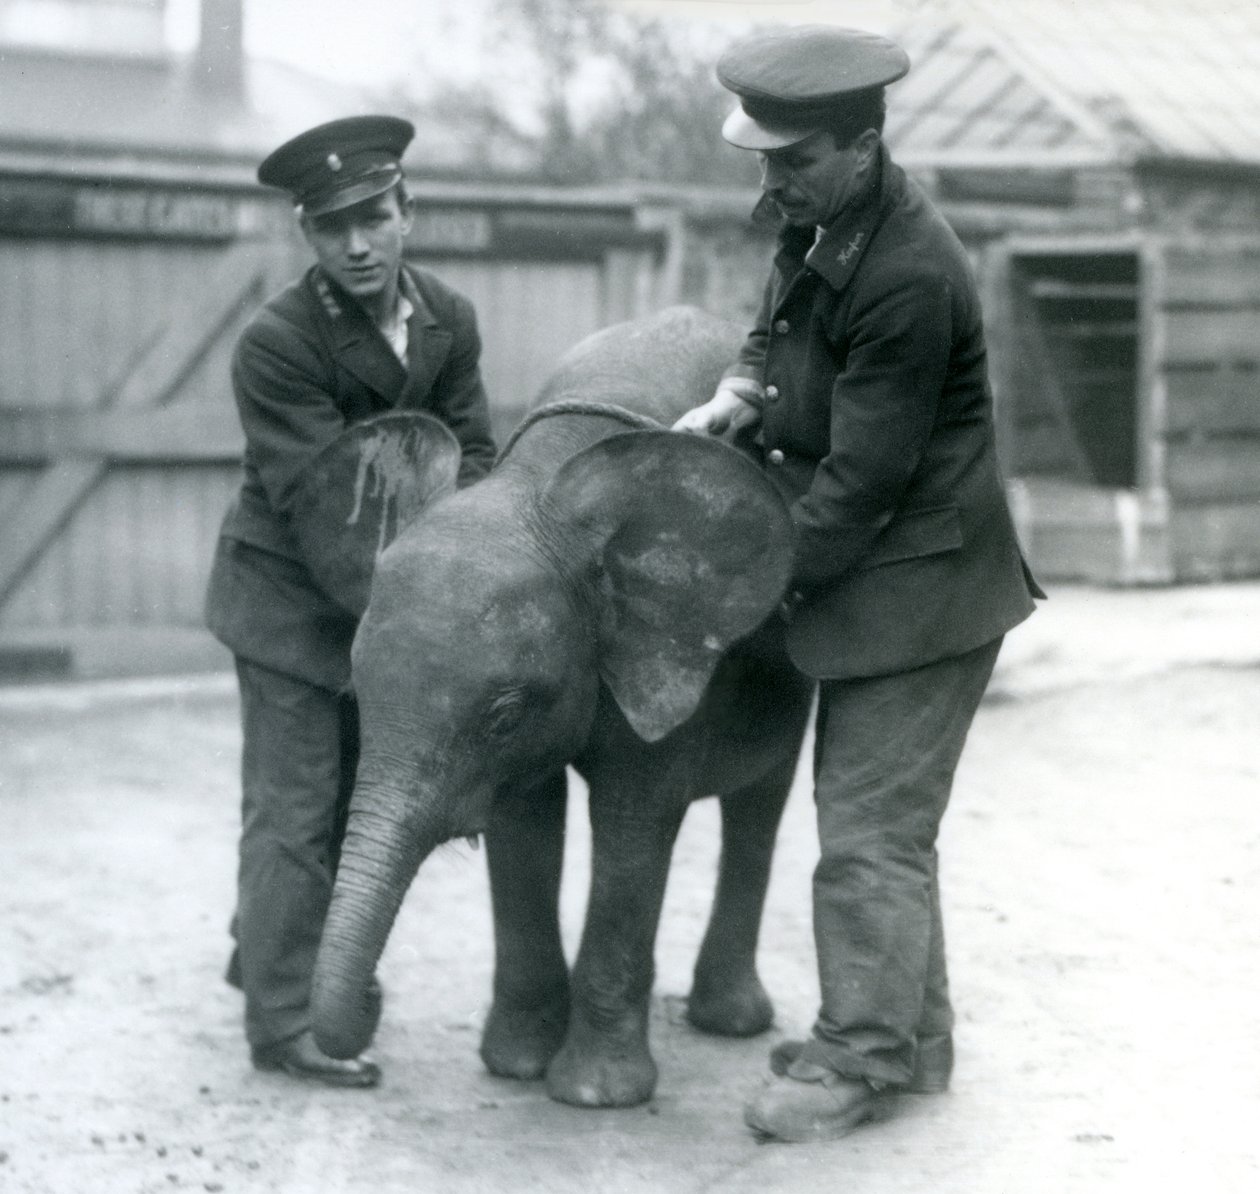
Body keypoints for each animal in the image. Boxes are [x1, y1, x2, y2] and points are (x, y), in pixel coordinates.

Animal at [309, 305, 815, 1108]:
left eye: (503, 714)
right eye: (357, 697)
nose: (371, 1008)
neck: (539, 483)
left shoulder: (660, 641)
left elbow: (633, 815)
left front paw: (595, 1096)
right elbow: (523, 822)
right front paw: (516, 1066)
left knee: (759, 804)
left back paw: (732, 1023)